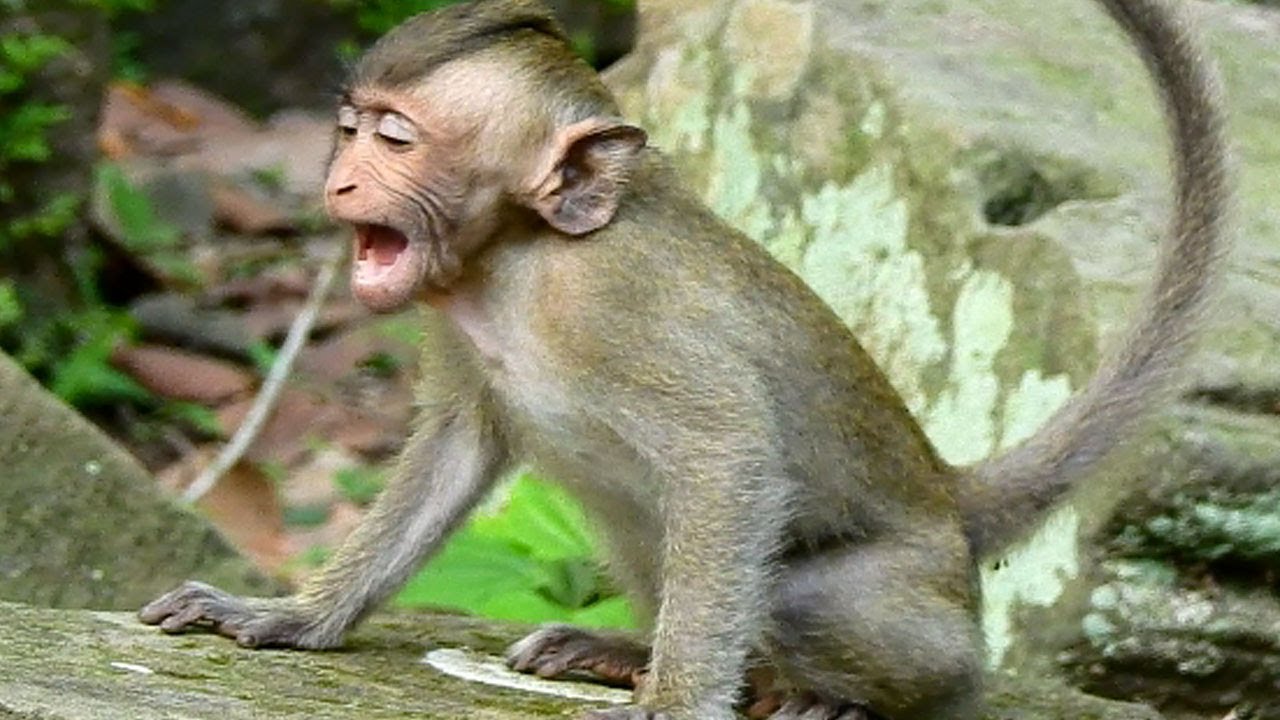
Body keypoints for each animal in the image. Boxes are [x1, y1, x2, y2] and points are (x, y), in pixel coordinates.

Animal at [138, 0, 1230, 718]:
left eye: (397, 140)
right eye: (350, 128)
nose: (338, 180)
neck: (519, 261)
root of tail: (946, 491)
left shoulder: (619, 308)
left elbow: (728, 454)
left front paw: (675, 704)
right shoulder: (453, 325)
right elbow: (453, 450)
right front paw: (294, 616)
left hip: (917, 593)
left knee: (827, 609)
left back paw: (851, 696)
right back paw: (628, 649)